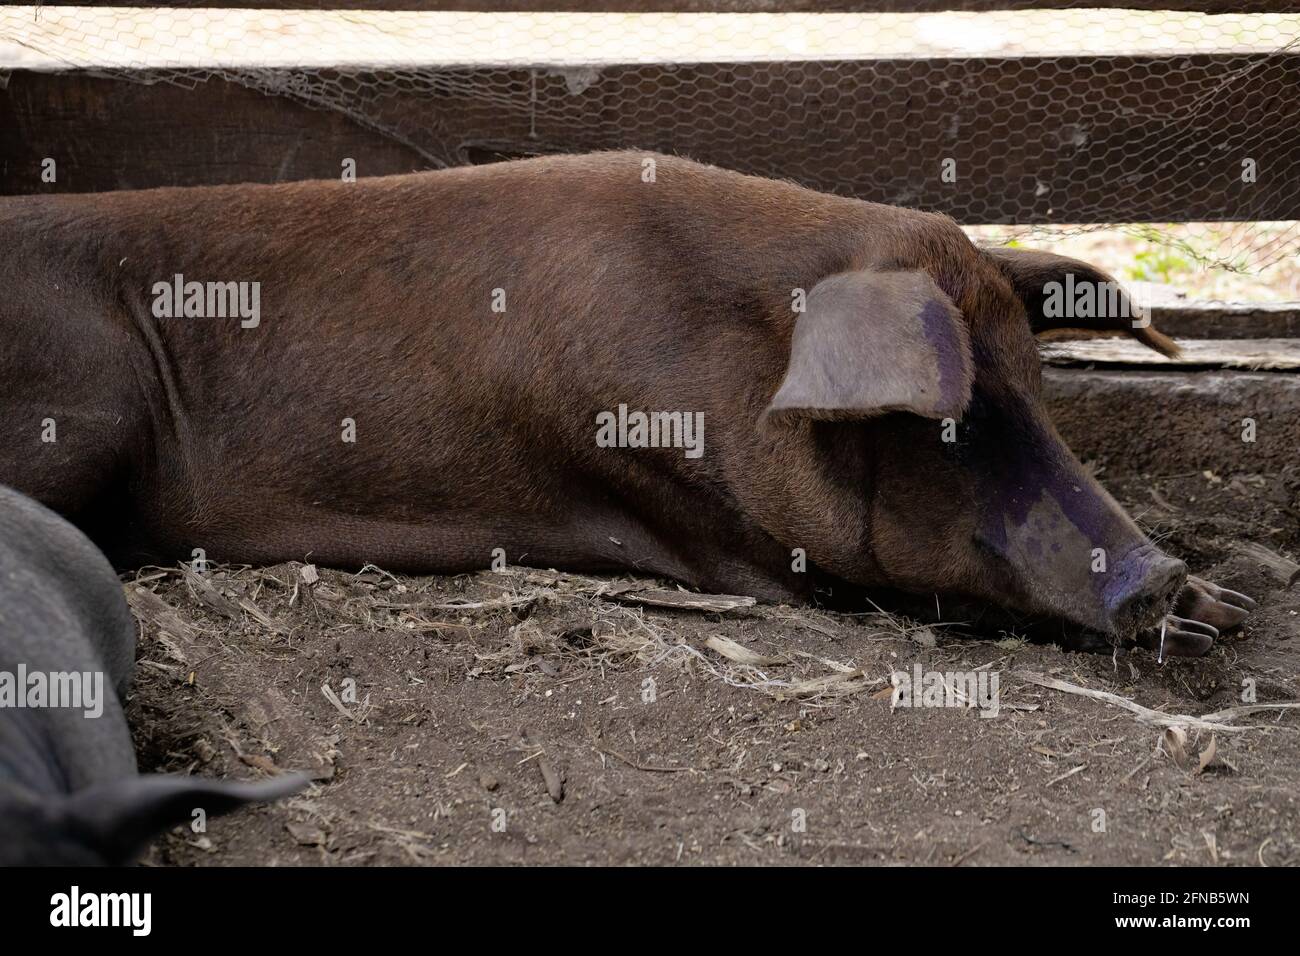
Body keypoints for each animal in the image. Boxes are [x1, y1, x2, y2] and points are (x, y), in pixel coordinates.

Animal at [0, 151, 1252, 657]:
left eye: (1035, 390)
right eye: (948, 420)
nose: (1159, 574)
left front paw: (1229, 609)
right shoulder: (732, 536)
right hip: (91, 395)